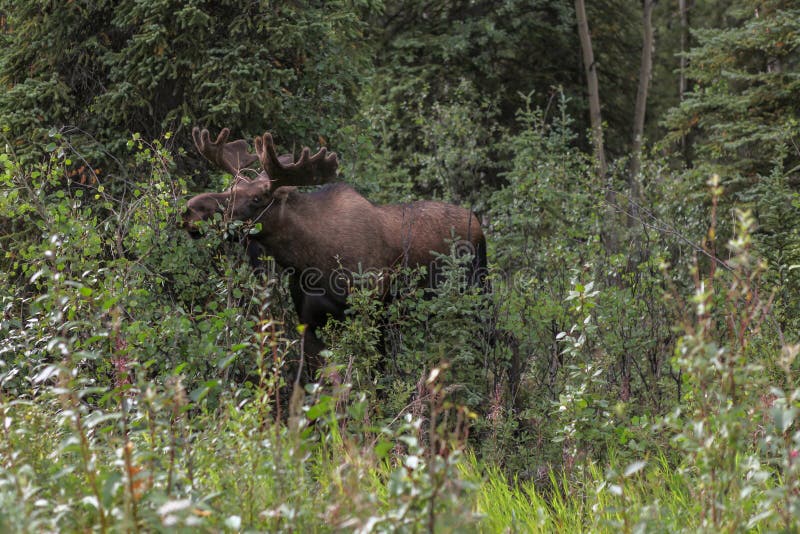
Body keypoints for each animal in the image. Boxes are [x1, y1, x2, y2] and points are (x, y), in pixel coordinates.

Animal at [183, 127, 488, 379]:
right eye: (230, 187)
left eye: (256, 198)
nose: (191, 210)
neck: (309, 262)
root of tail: (477, 223)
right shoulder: (308, 323)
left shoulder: (372, 315)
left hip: (476, 294)